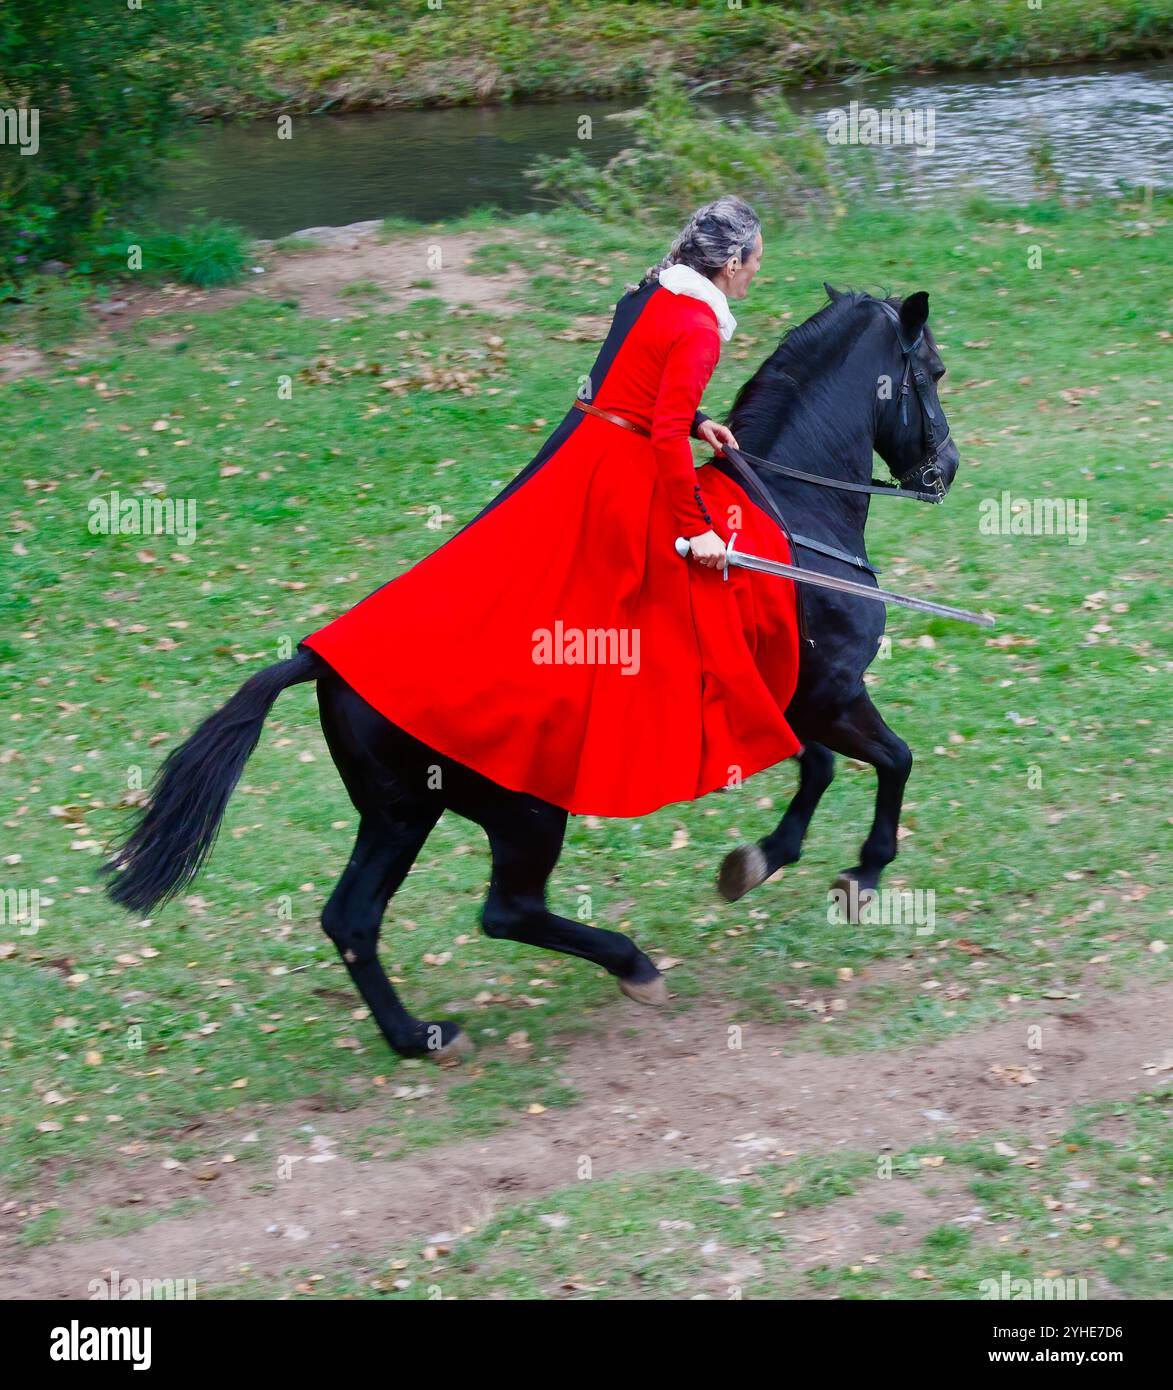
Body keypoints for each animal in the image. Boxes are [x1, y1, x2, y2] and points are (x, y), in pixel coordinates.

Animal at [103, 286, 959, 1065]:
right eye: (934, 370)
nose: (945, 470)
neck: (787, 513)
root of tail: (320, 657)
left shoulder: (780, 702)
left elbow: (818, 770)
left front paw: (759, 859)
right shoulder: (828, 693)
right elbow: (893, 759)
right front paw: (861, 872)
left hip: (399, 813)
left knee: (353, 918)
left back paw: (417, 1036)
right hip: (523, 811)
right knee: (506, 910)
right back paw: (631, 965)